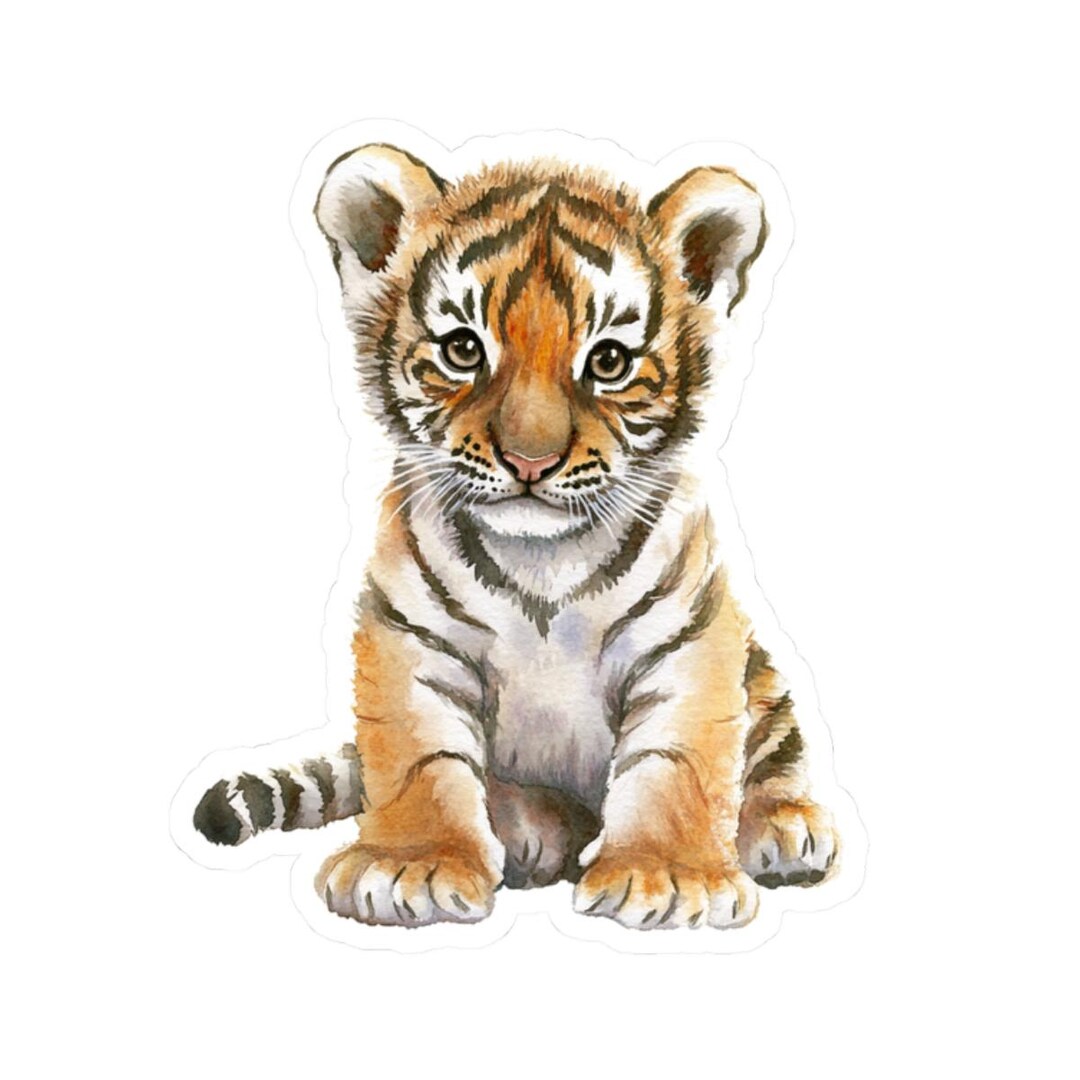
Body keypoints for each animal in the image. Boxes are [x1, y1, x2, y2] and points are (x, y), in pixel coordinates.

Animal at [192, 141, 840, 931]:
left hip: (762, 674)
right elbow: (418, 758)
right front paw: (410, 866)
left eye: (608, 362)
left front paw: (667, 875)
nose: (531, 460)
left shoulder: (689, 638)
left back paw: (781, 826)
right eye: (463, 349)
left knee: (773, 751)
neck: (543, 561)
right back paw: (532, 828)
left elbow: (678, 759)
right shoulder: (411, 637)